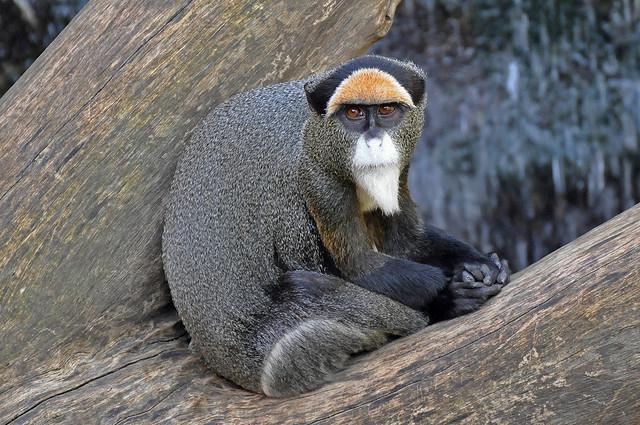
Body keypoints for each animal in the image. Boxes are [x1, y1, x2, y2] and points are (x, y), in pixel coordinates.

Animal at [162, 55, 510, 398]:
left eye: (386, 110)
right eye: (354, 112)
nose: (374, 141)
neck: (314, 131)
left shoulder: (400, 171)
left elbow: (408, 242)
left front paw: (480, 262)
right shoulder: (314, 177)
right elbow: (360, 268)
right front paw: (449, 294)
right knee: (305, 284)